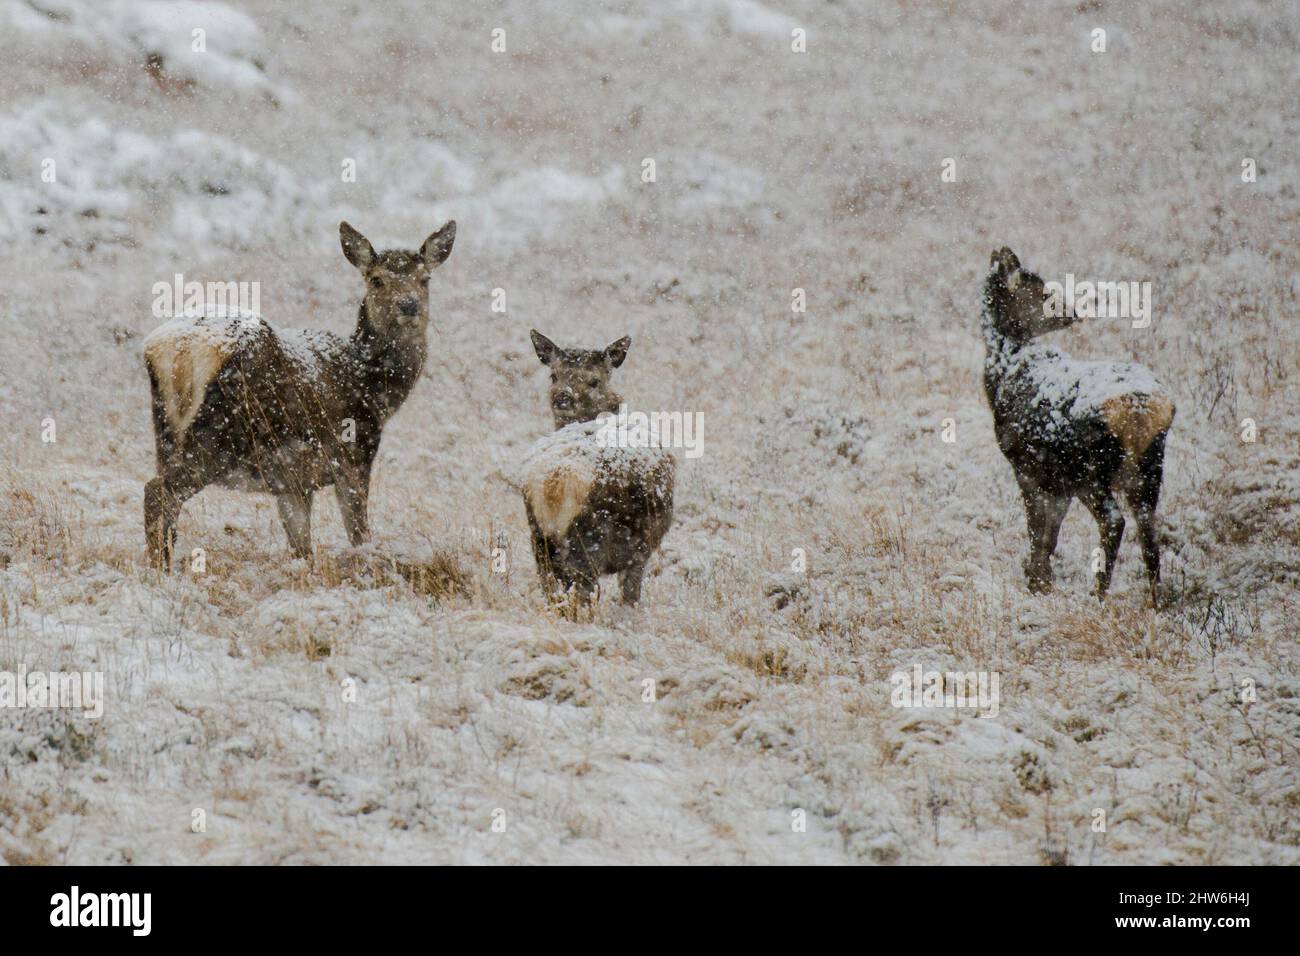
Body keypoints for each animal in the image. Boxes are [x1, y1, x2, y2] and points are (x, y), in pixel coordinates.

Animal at [142, 220, 456, 570]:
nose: (409, 305)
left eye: (425, 278)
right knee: (158, 492)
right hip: (217, 435)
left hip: (166, 435)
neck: (370, 387)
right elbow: (359, 536)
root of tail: (175, 348)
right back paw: (161, 570)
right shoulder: (353, 455)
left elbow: (302, 548)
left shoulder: (293, 481)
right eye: (377, 279)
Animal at [517, 330, 675, 607]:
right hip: (590, 539)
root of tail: (556, 481)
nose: (563, 397)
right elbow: (631, 595)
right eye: (553, 375)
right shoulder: (641, 550)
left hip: (539, 538)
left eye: (594, 380)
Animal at [981, 247, 1175, 600]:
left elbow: (1036, 529)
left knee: (1114, 521)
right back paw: (1156, 600)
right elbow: (1050, 535)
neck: (1004, 369)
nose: (1072, 312)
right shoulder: (1057, 482)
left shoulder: (1026, 465)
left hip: (1089, 469)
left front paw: (1036, 584)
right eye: (1040, 289)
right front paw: (1041, 580)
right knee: (1148, 529)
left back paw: (1096, 594)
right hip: (1148, 468)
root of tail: (1140, 409)